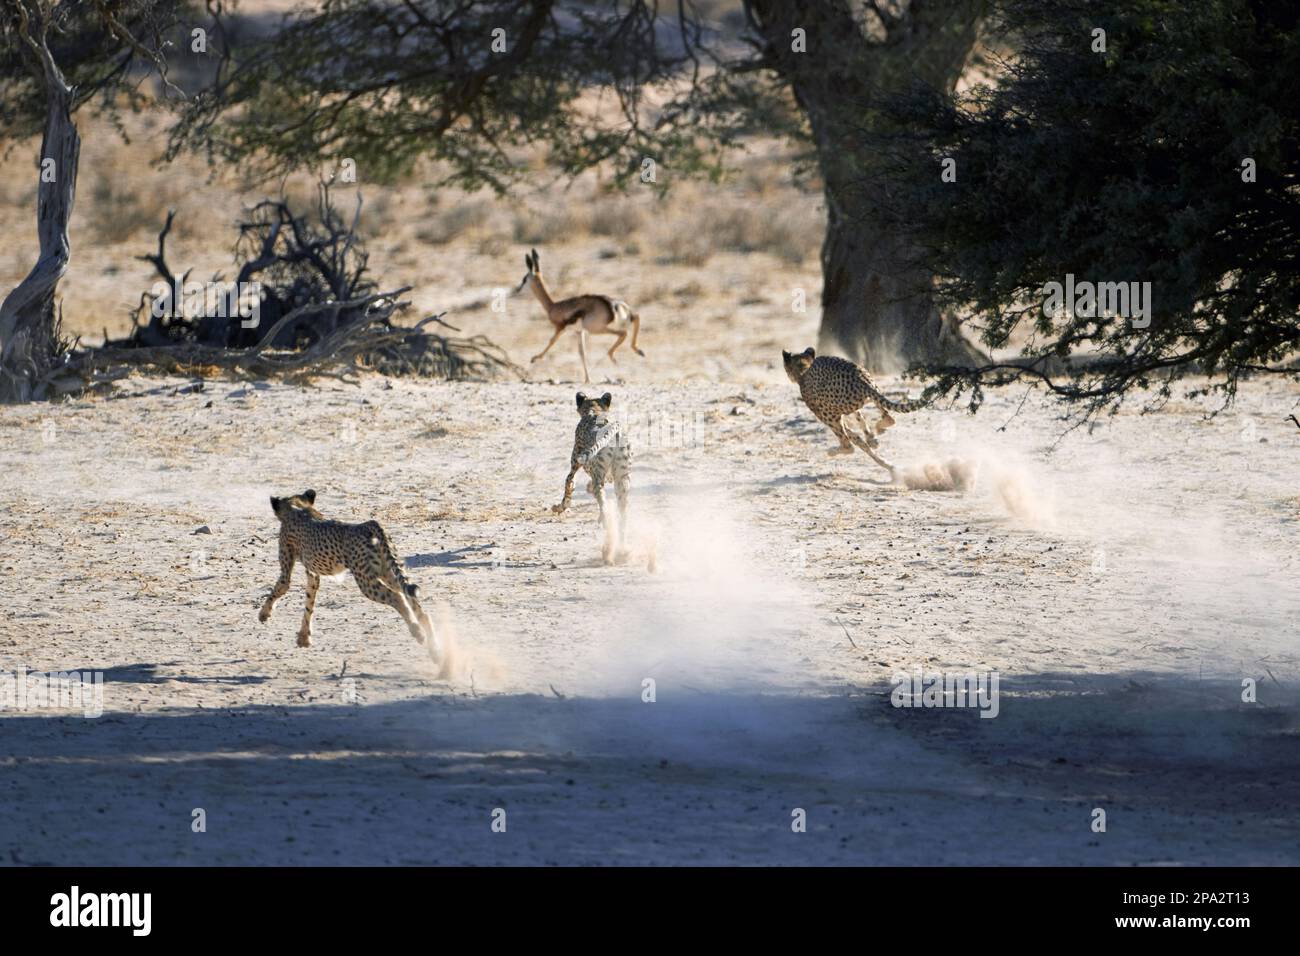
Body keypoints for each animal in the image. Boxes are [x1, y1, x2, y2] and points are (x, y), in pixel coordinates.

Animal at [258, 489, 433, 648]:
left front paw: (264, 614)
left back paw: (418, 633)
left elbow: (280, 587)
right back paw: (434, 646)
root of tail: (369, 524)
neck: (297, 507)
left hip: (366, 580)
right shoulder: (313, 574)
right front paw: (304, 637)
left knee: (397, 597)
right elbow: (309, 602)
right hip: (388, 572)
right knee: (415, 604)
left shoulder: (288, 566)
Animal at [551, 391, 631, 561]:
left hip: (598, 475)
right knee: (623, 515)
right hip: (622, 481)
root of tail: (614, 428)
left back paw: (605, 523)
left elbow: (568, 485)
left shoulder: (575, 463)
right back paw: (621, 548)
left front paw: (560, 507)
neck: (593, 411)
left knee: (602, 501)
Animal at [781, 347, 926, 477]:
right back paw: (878, 431)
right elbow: (858, 430)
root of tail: (860, 378)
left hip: (831, 413)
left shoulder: (826, 414)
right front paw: (872, 442)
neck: (804, 370)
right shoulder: (850, 409)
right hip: (870, 394)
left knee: (847, 444)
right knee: (888, 417)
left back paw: (834, 451)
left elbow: (851, 436)